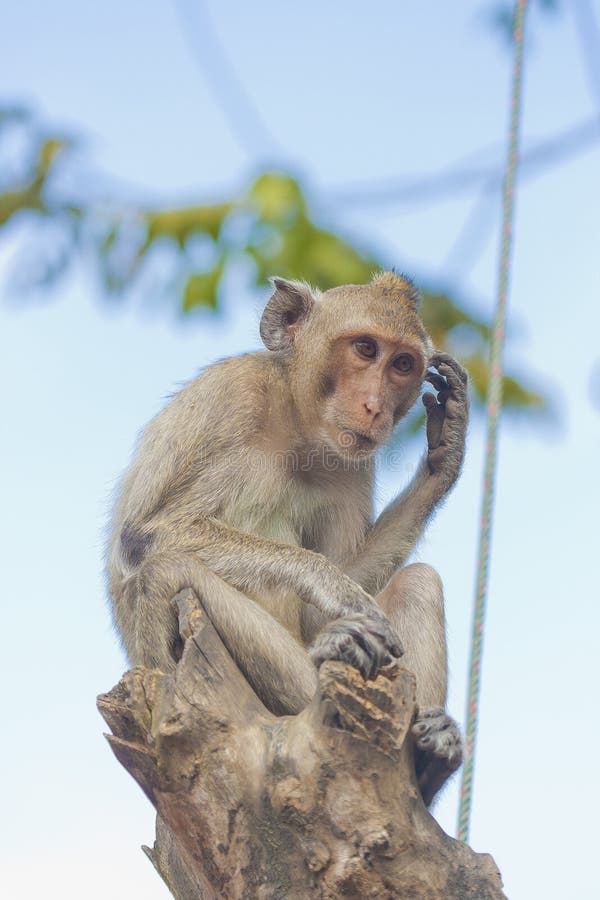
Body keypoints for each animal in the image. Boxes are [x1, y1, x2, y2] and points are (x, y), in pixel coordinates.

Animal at [106, 271, 469, 806]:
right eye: (365, 349)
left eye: (403, 364)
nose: (374, 407)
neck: (295, 422)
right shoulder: (230, 398)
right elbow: (142, 537)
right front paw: (330, 585)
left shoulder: (351, 466)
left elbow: (329, 605)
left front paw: (445, 452)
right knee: (162, 572)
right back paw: (329, 658)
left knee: (418, 580)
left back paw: (428, 763)